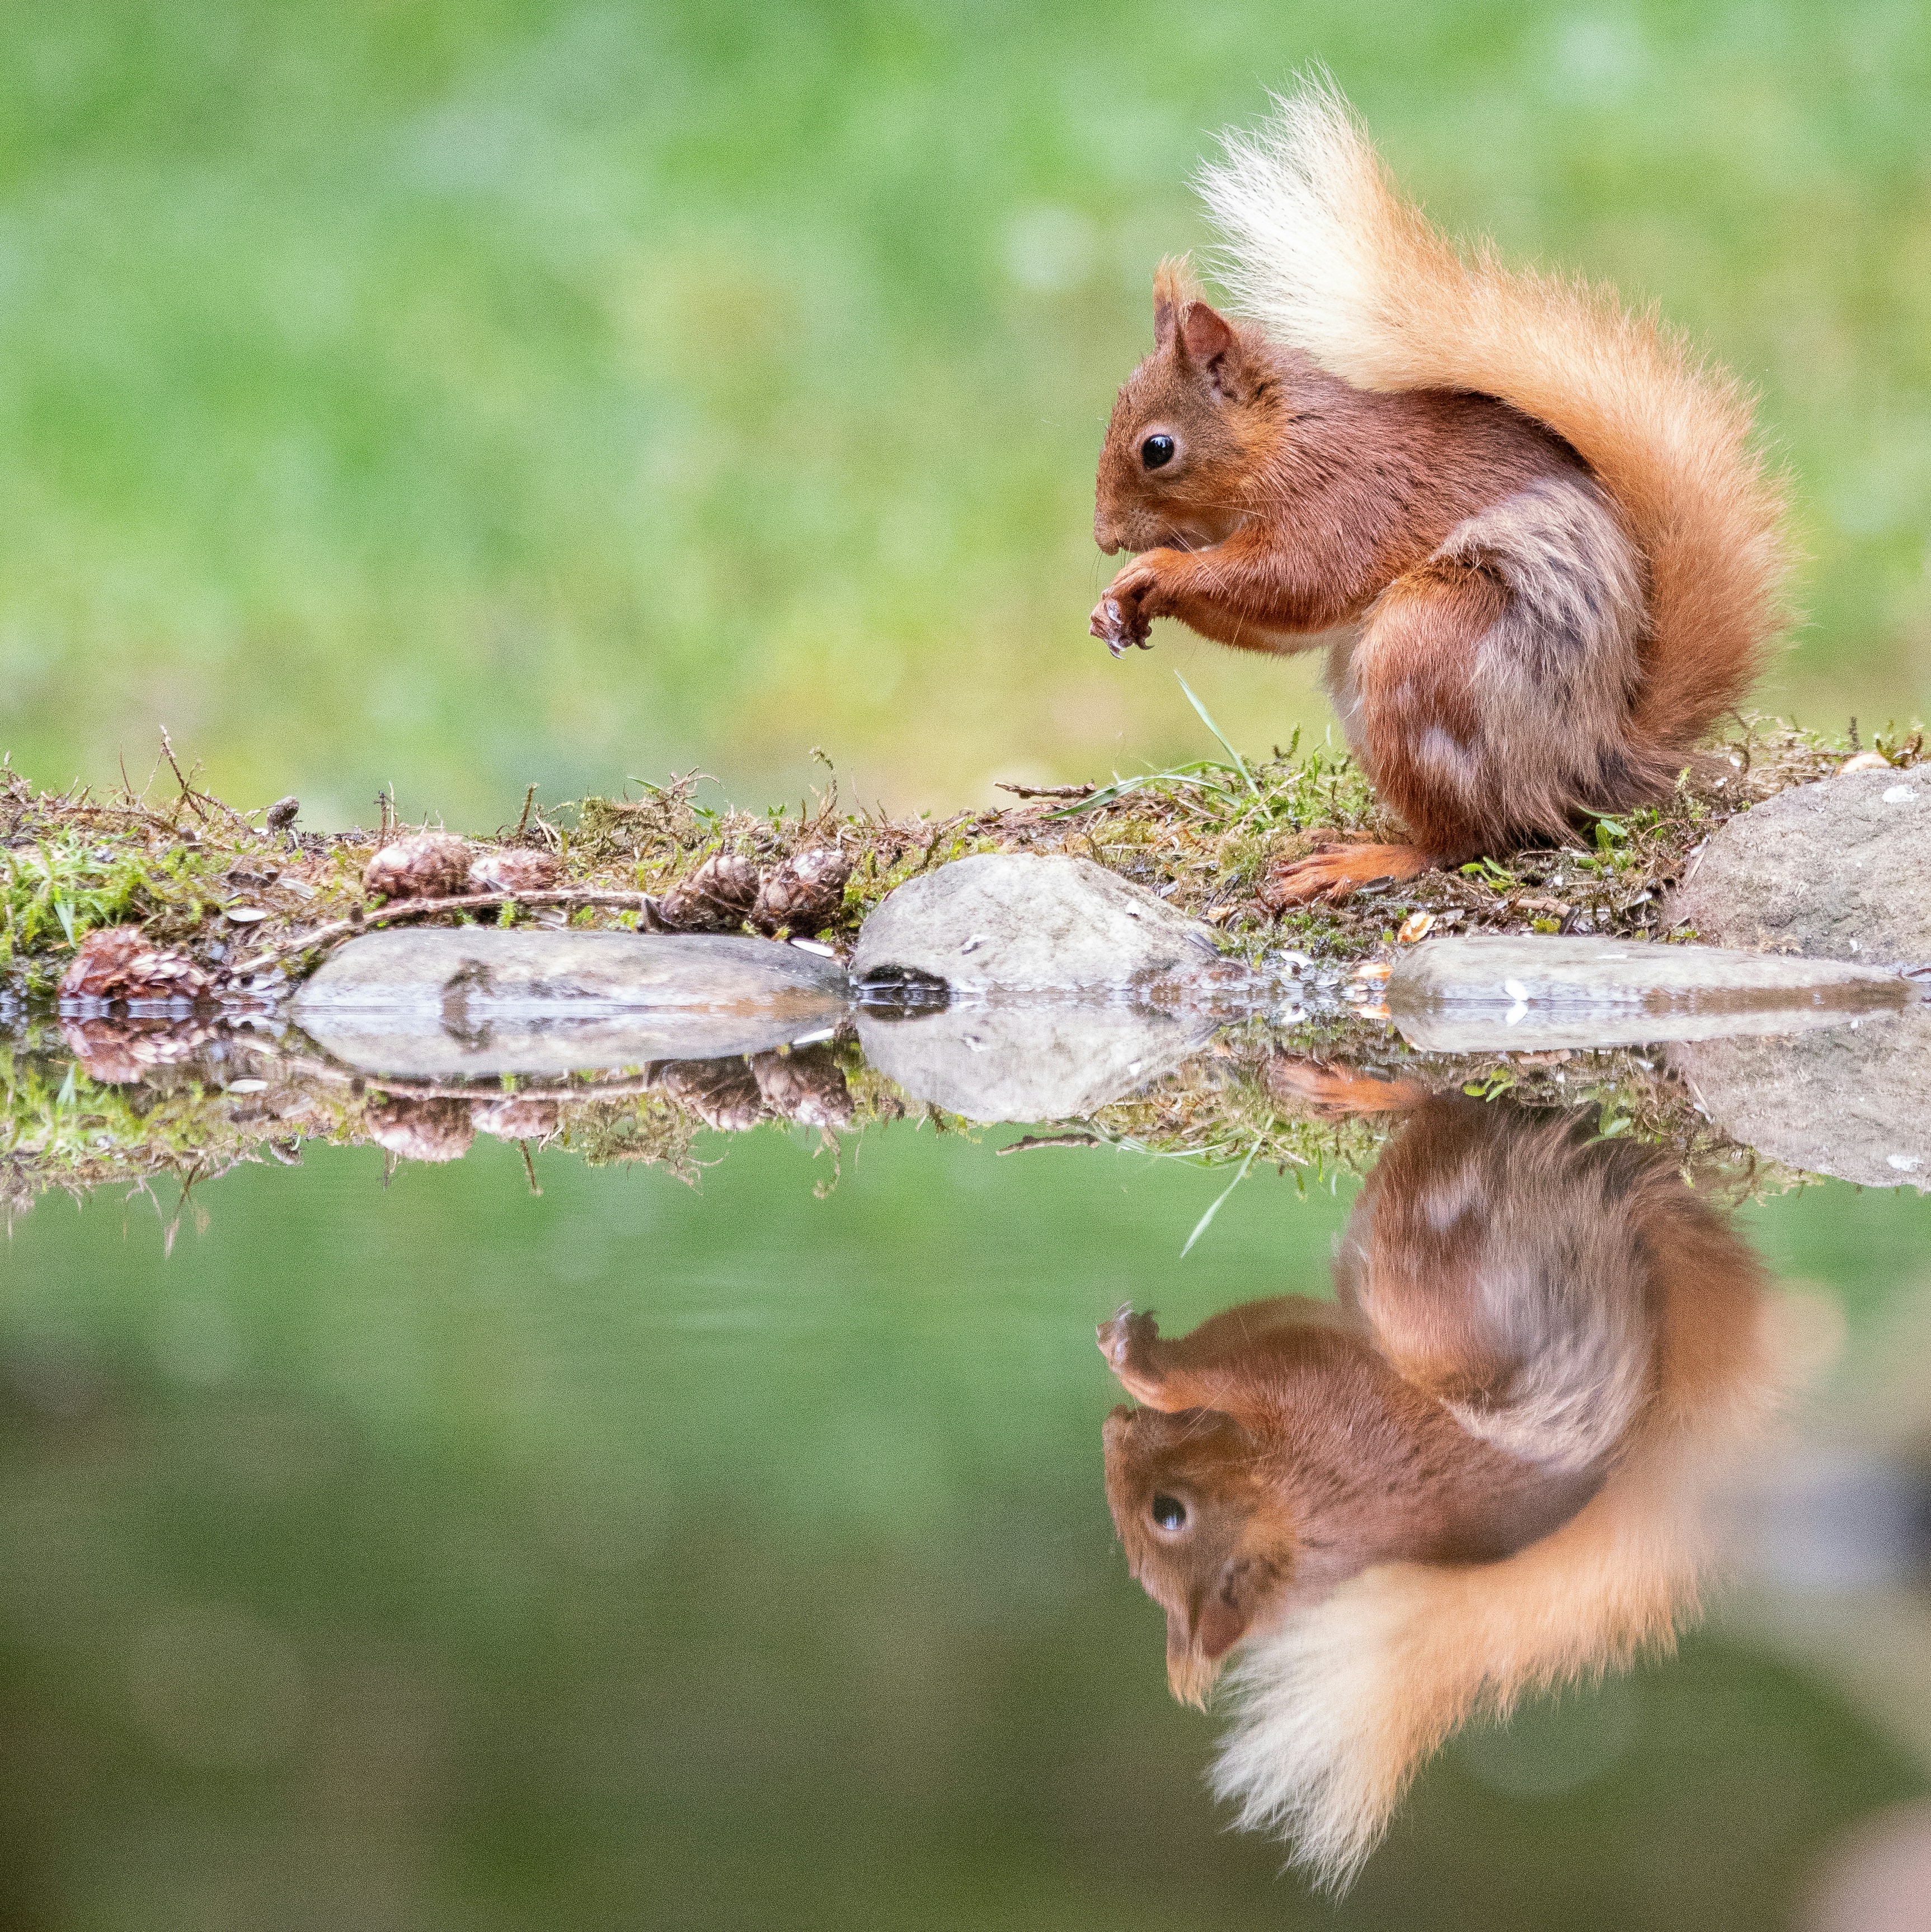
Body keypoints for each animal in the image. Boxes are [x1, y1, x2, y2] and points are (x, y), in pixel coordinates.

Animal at [1090, 82, 1788, 903]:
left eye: (1157, 449)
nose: (1104, 536)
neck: (1286, 440)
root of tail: (1587, 765)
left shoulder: (1346, 501)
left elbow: (1289, 584)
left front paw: (1154, 572)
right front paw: (1113, 603)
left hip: (1424, 650)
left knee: (1469, 838)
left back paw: (1368, 858)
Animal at [1097, 1088, 1810, 1886]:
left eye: (1167, 1513)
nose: (1114, 1430)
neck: (1287, 1509)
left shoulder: (1320, 1404)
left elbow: (1224, 1367)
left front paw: (1143, 1367)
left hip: (1425, 1283)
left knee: (1441, 1124)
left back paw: (1357, 1088)